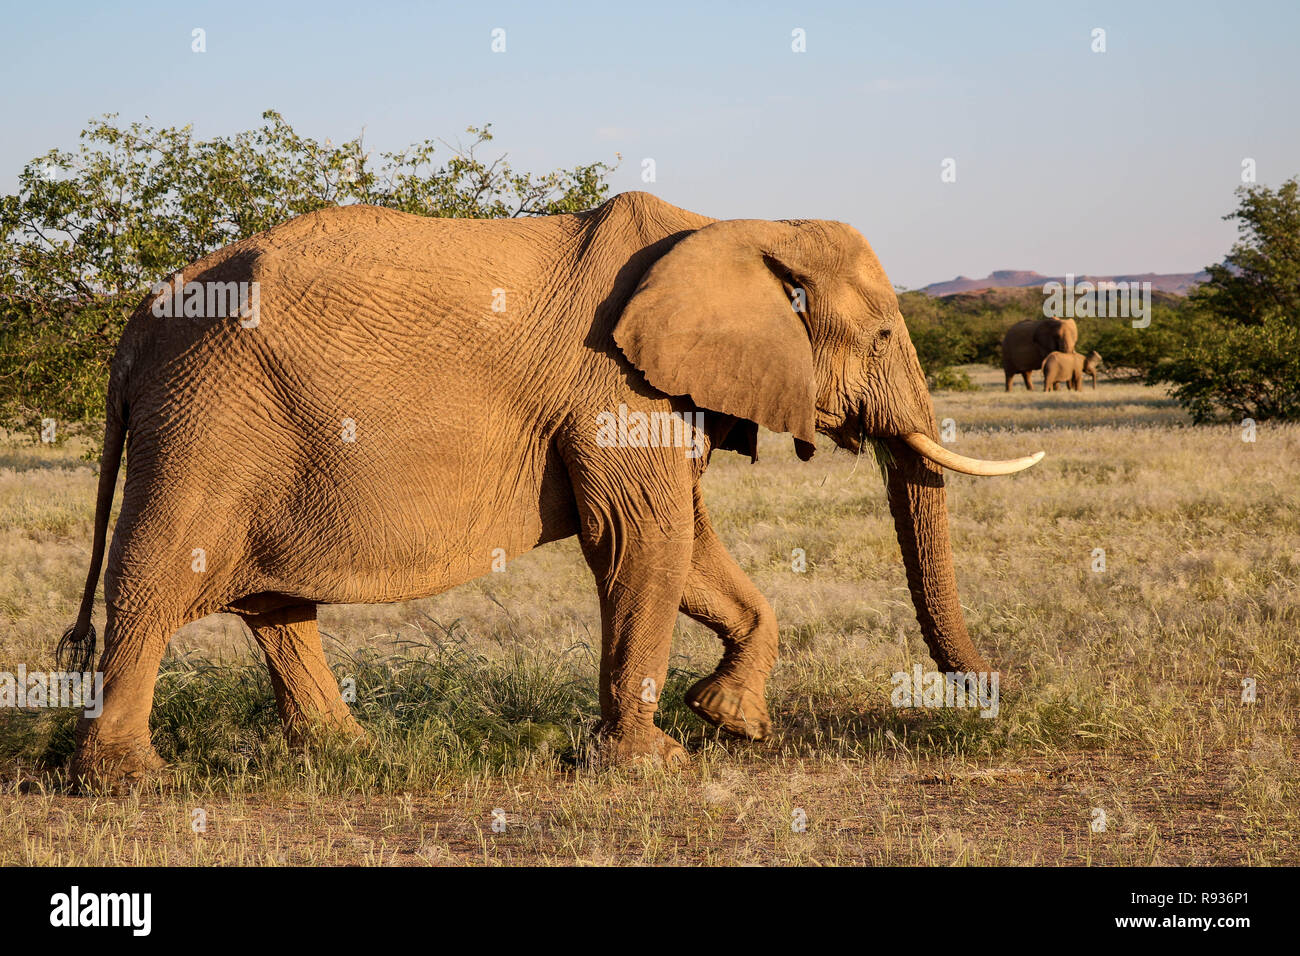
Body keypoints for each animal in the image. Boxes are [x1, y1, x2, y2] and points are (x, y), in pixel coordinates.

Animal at [58, 191, 1044, 786]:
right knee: (154, 583)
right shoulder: (615, 383)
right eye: (879, 335)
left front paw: (731, 723)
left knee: (274, 605)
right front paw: (653, 767)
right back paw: (127, 782)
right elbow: (643, 539)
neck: (738, 223)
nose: (1004, 697)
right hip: (206, 422)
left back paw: (352, 754)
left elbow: (687, 545)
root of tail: (131, 335)